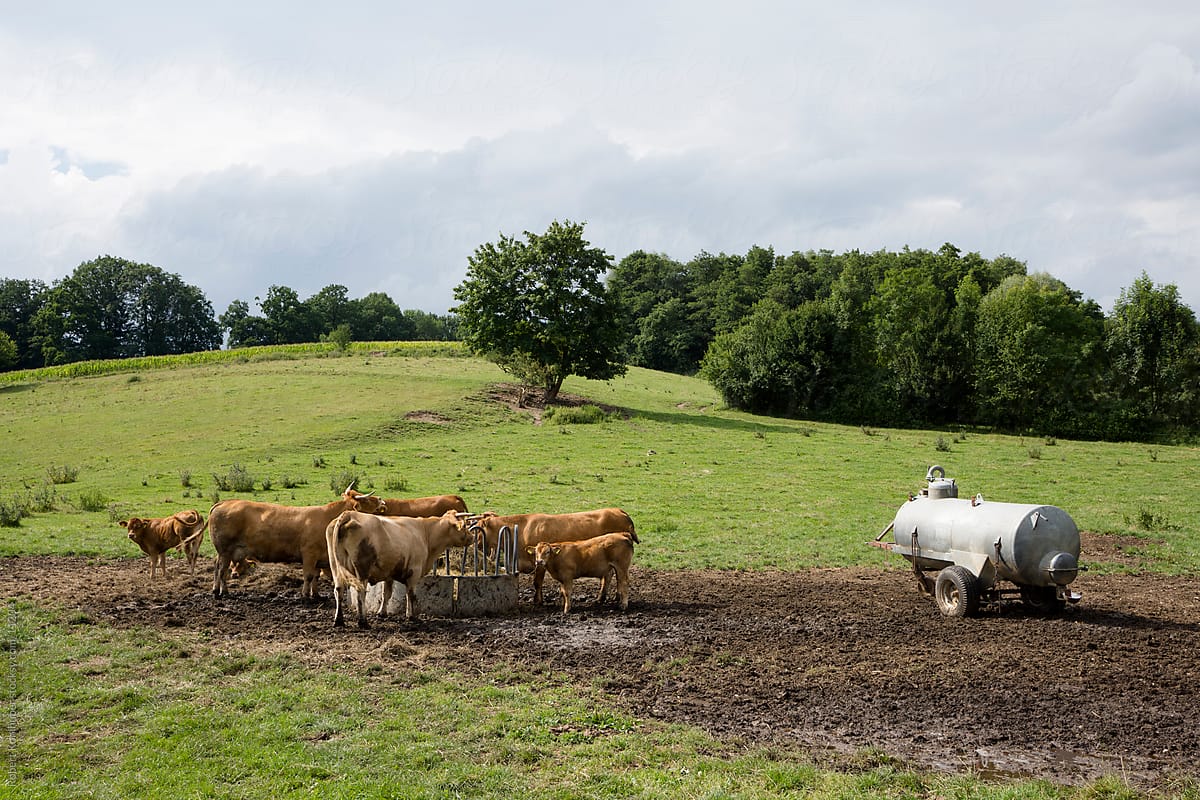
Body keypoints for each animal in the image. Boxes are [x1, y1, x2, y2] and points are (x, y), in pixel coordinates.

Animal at [208, 493, 387, 599]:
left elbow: (315, 576)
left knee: (219, 568)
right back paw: (220, 592)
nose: (381, 499)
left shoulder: (320, 558)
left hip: (226, 552)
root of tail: (224, 503)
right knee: (221, 569)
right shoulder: (309, 554)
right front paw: (305, 595)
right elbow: (308, 575)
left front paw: (316, 594)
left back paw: (220, 590)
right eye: (365, 499)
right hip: (225, 551)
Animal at [325, 509, 474, 627]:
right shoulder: (414, 572)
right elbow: (411, 595)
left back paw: (339, 620)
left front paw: (382, 613)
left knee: (338, 590)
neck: (425, 533)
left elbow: (386, 594)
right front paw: (411, 616)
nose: (472, 537)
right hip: (362, 571)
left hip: (335, 567)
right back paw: (363, 622)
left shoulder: (389, 573)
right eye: (464, 526)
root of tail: (349, 514)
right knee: (360, 594)